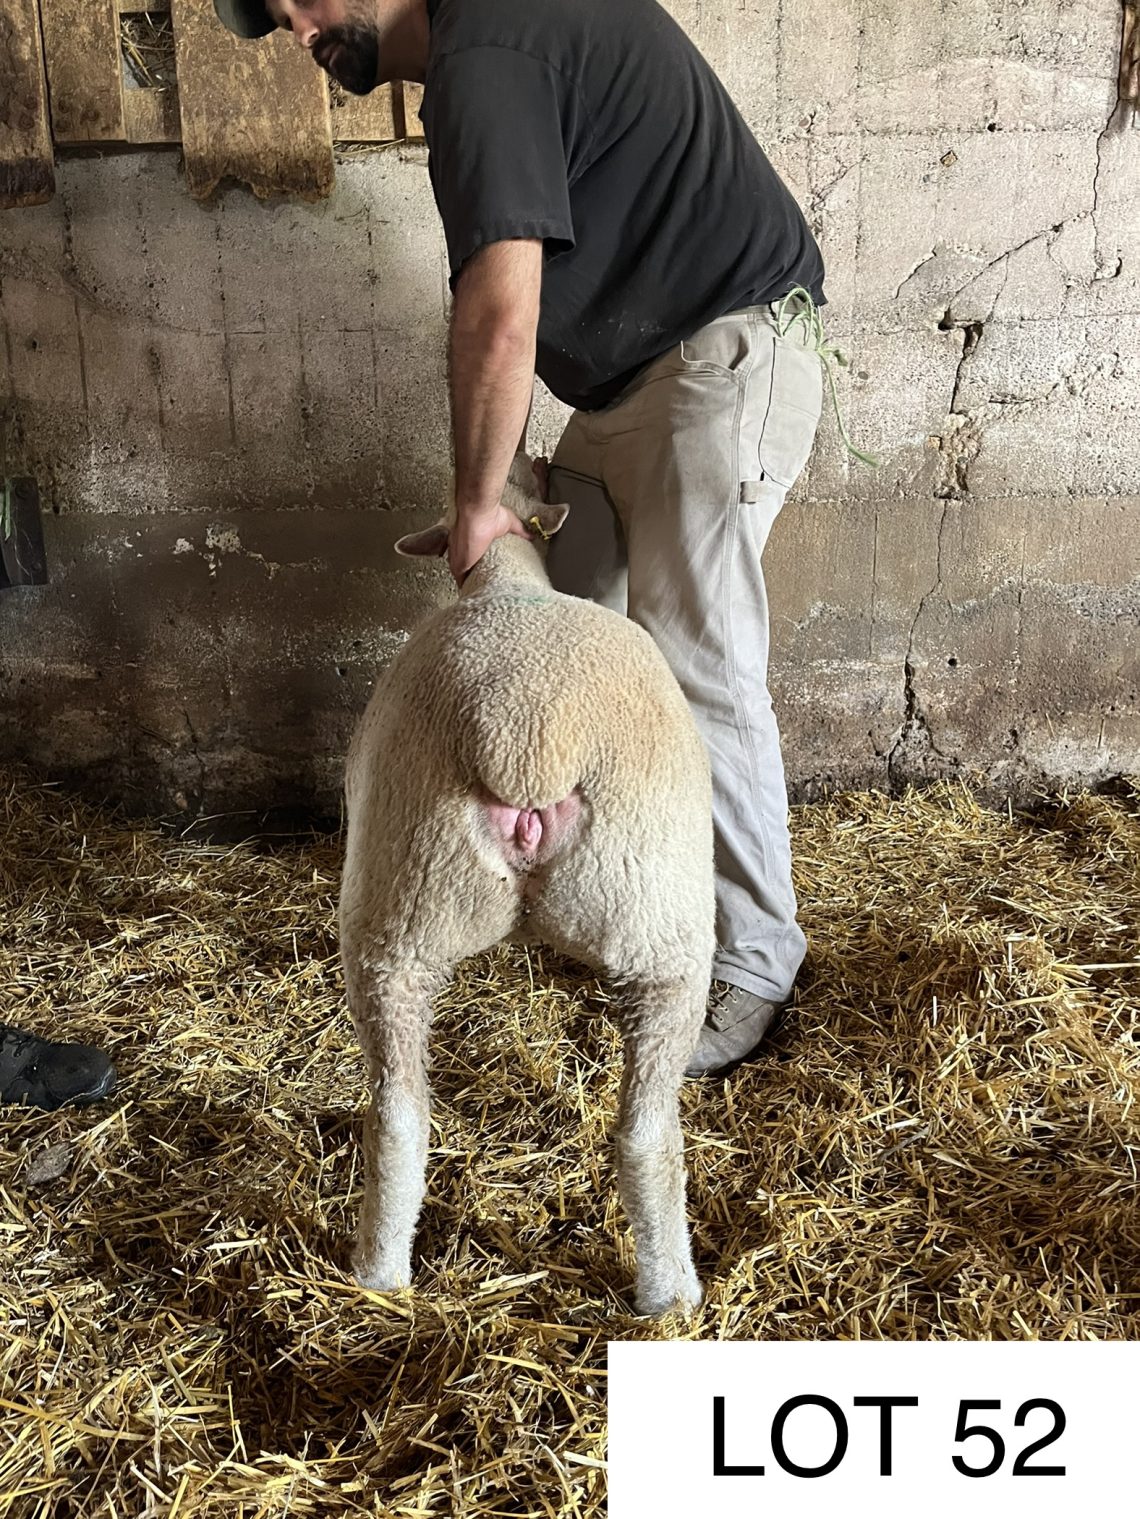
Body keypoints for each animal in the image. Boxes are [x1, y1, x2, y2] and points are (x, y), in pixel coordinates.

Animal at [338, 454, 715, 1315]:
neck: (509, 579)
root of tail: (527, 734)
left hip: (405, 916)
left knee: (402, 1118)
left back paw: (382, 1278)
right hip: (655, 924)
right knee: (644, 1131)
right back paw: (670, 1291)